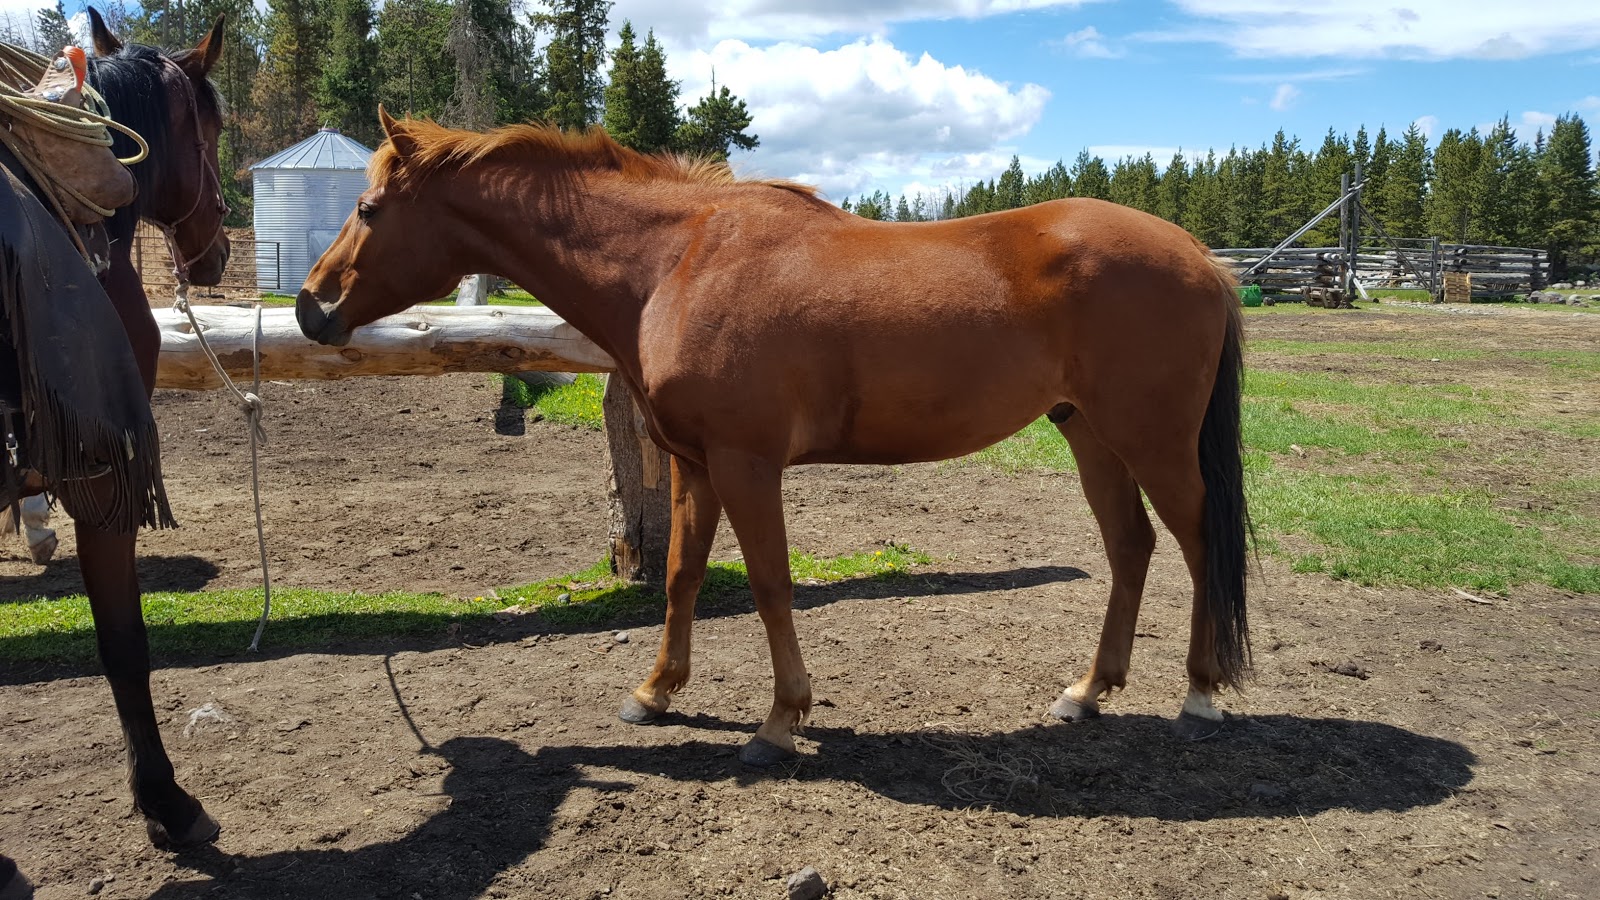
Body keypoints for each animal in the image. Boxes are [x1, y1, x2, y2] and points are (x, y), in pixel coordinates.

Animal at [297, 109, 1252, 767]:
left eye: (369, 208)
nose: (312, 307)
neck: (677, 263)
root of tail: (1202, 259)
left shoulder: (746, 464)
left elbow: (769, 585)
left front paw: (780, 719)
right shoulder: (693, 465)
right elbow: (680, 576)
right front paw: (656, 693)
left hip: (1153, 440)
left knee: (1199, 541)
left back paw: (1201, 692)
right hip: (1089, 433)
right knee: (1130, 546)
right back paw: (1089, 692)